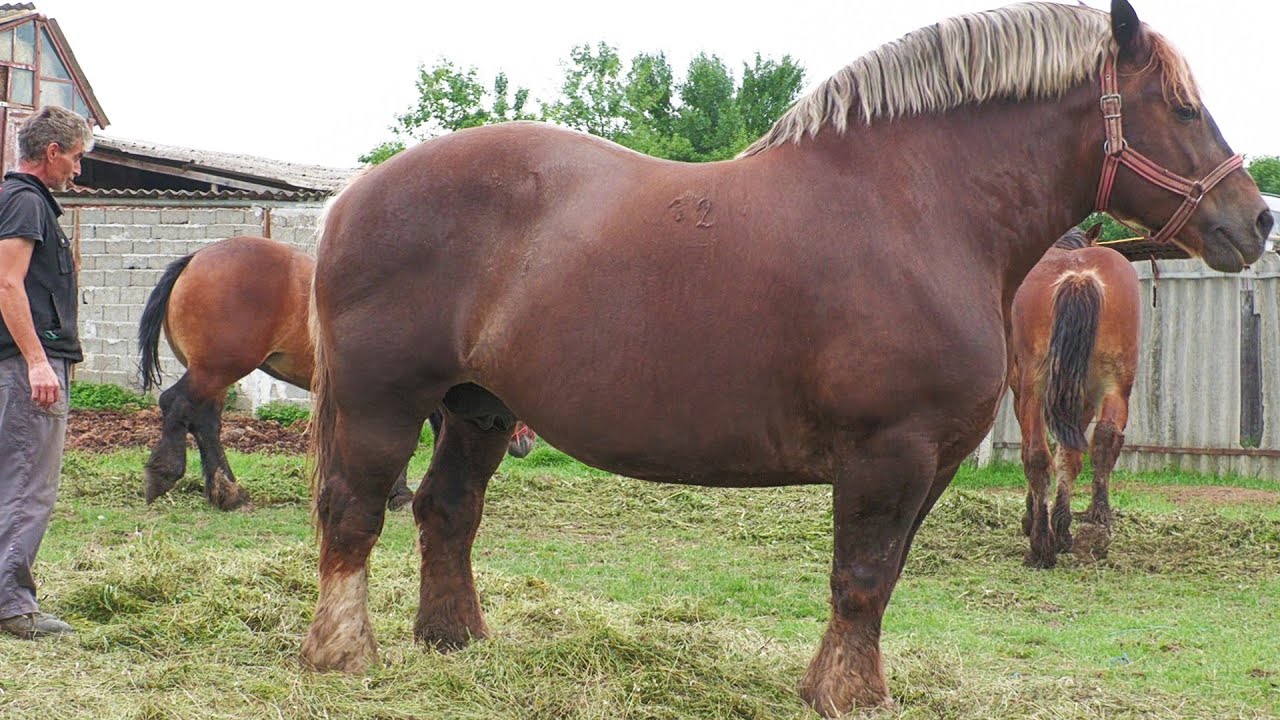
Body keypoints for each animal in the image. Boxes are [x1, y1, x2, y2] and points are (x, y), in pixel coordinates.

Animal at [137, 236, 536, 511]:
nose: (525, 443)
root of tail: (195, 259)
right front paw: (401, 494)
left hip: (216, 373)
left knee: (205, 422)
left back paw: (227, 492)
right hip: (217, 369)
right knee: (178, 404)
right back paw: (167, 473)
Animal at [1009, 225, 1140, 569]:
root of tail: (1079, 278)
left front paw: (1037, 520)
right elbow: (1070, 456)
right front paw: (1064, 527)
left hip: (1034, 388)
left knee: (1037, 455)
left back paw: (1041, 545)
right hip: (1115, 385)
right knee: (1104, 442)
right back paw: (1096, 529)